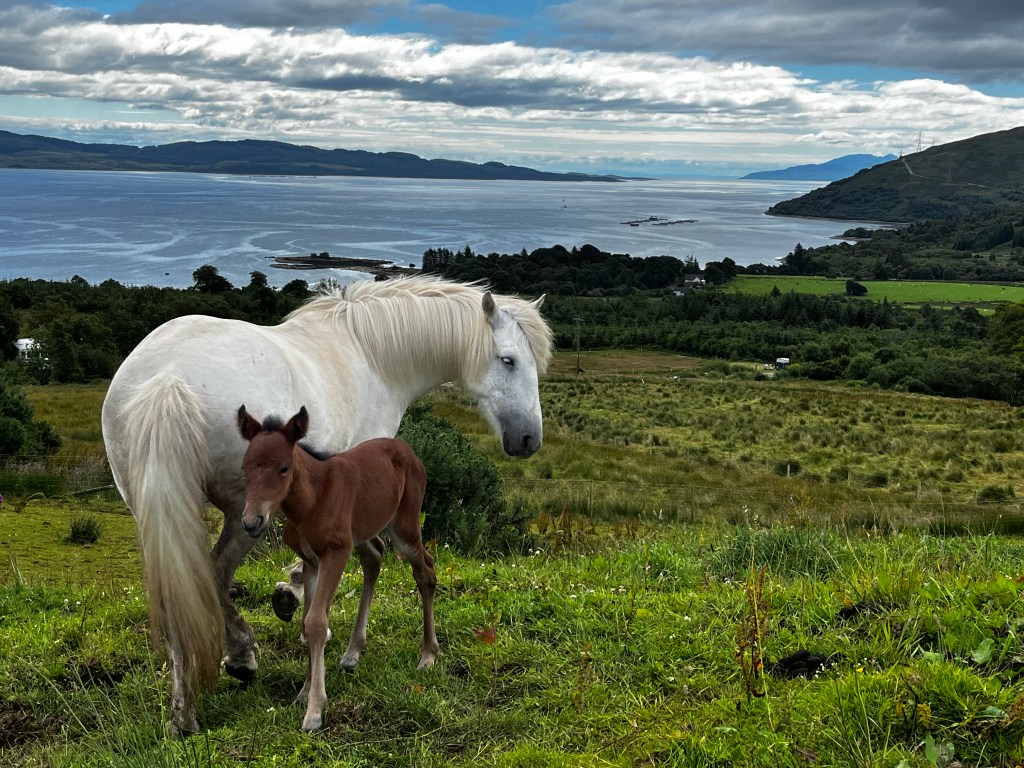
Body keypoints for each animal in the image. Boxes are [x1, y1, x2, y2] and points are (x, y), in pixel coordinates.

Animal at [238, 405, 437, 731]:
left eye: (283, 468)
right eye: (245, 467)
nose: (252, 521)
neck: (313, 500)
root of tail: (409, 451)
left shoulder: (336, 552)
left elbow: (317, 622)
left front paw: (315, 710)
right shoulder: (311, 561)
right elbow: (307, 621)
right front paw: (305, 691)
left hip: (404, 525)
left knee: (426, 571)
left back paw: (428, 655)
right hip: (365, 530)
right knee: (374, 556)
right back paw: (353, 652)